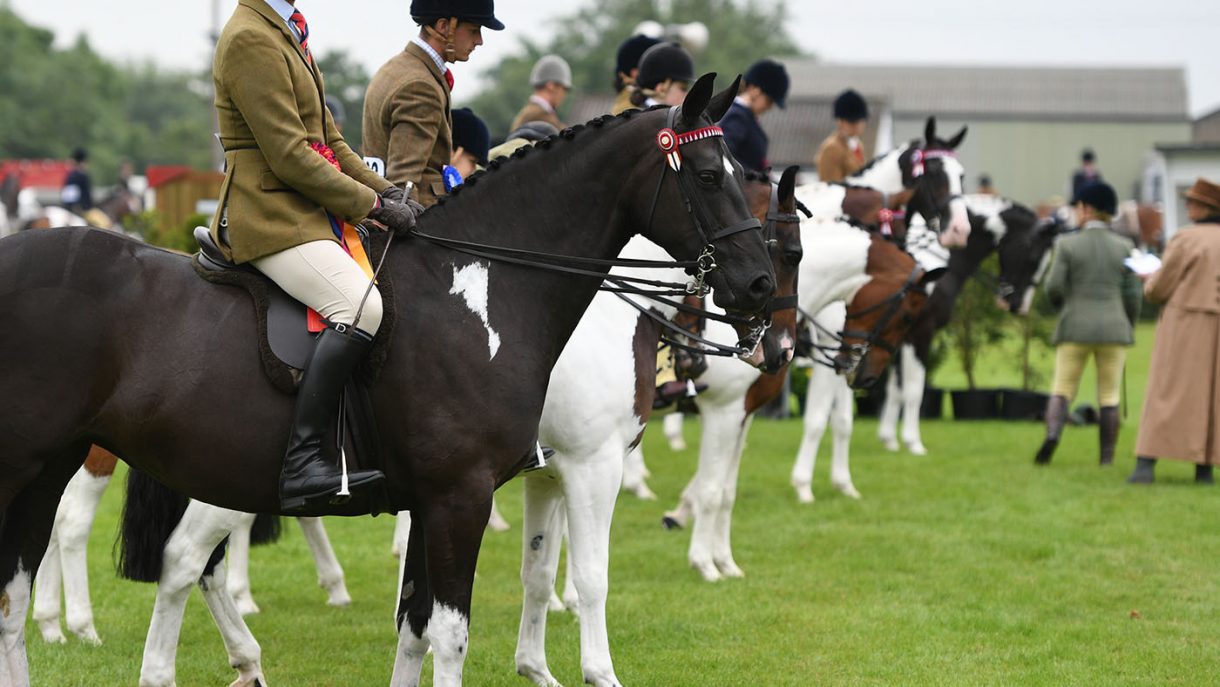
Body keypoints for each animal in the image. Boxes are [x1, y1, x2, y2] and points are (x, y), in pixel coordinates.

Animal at [0, 74, 776, 687]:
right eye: (710, 175)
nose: (760, 289)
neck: (479, 292)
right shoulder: (480, 492)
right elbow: (467, 627)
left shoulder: (442, 498)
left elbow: (418, 627)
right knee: (168, 562)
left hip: (61, 468)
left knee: (30, 595)